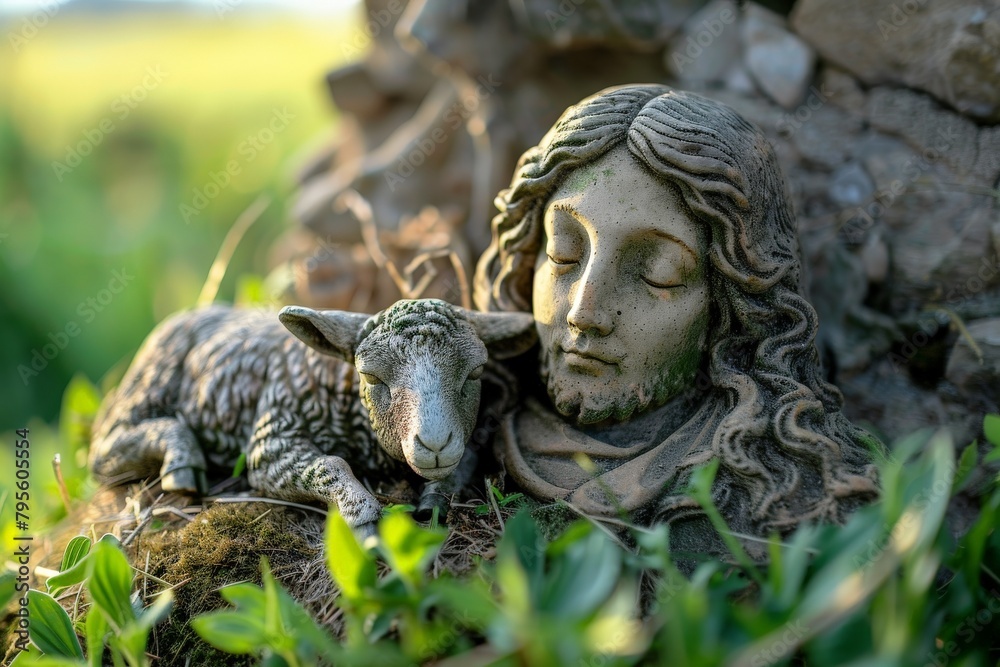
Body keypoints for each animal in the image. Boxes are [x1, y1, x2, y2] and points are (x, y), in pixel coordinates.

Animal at [88, 299, 535, 533]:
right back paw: (180, 460)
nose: (435, 444)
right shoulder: (270, 437)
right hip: (147, 384)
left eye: (475, 372)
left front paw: (436, 497)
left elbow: (466, 461)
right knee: (103, 448)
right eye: (371, 376)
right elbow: (328, 463)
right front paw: (360, 512)